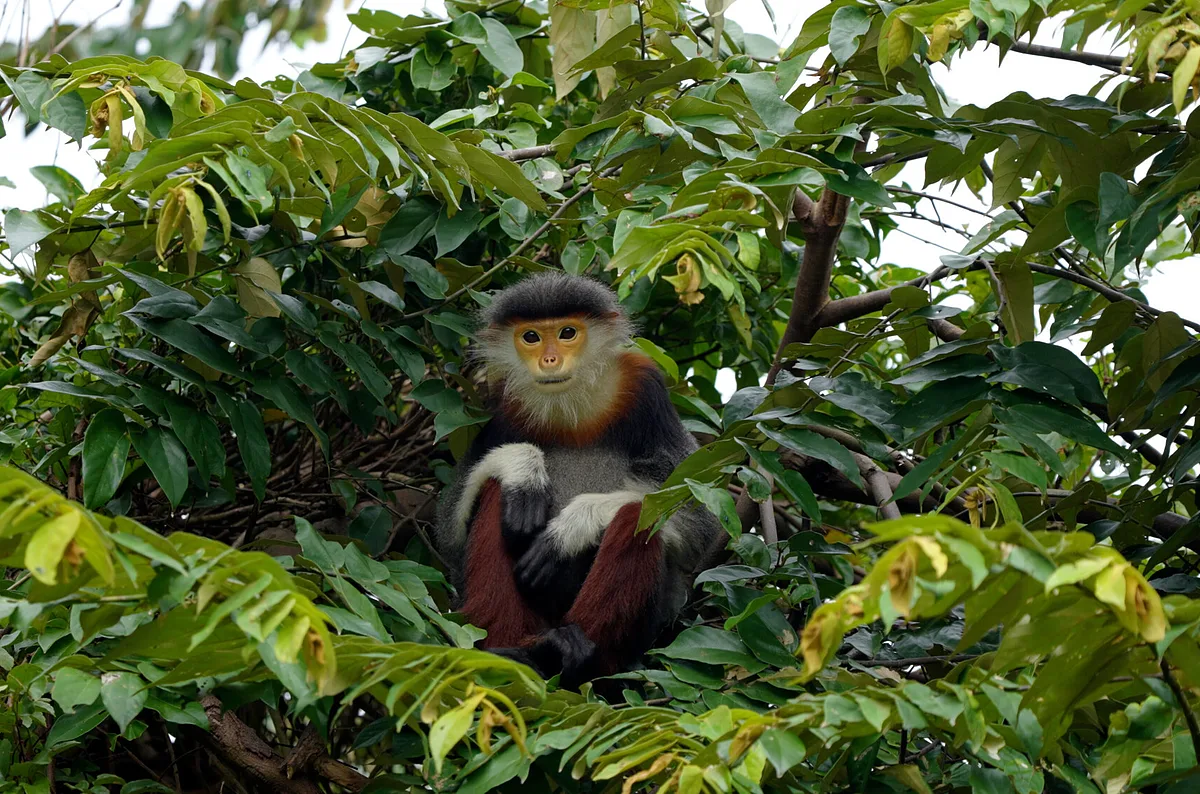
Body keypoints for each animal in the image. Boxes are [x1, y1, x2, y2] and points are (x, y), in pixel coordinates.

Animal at [435, 272, 721, 687]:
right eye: (531, 337)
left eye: (567, 332)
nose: (549, 360)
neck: (573, 410)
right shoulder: (506, 409)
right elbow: (450, 534)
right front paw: (523, 468)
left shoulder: (645, 386)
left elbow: (701, 523)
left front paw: (571, 529)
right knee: (500, 495)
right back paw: (511, 652)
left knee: (637, 516)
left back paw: (577, 656)